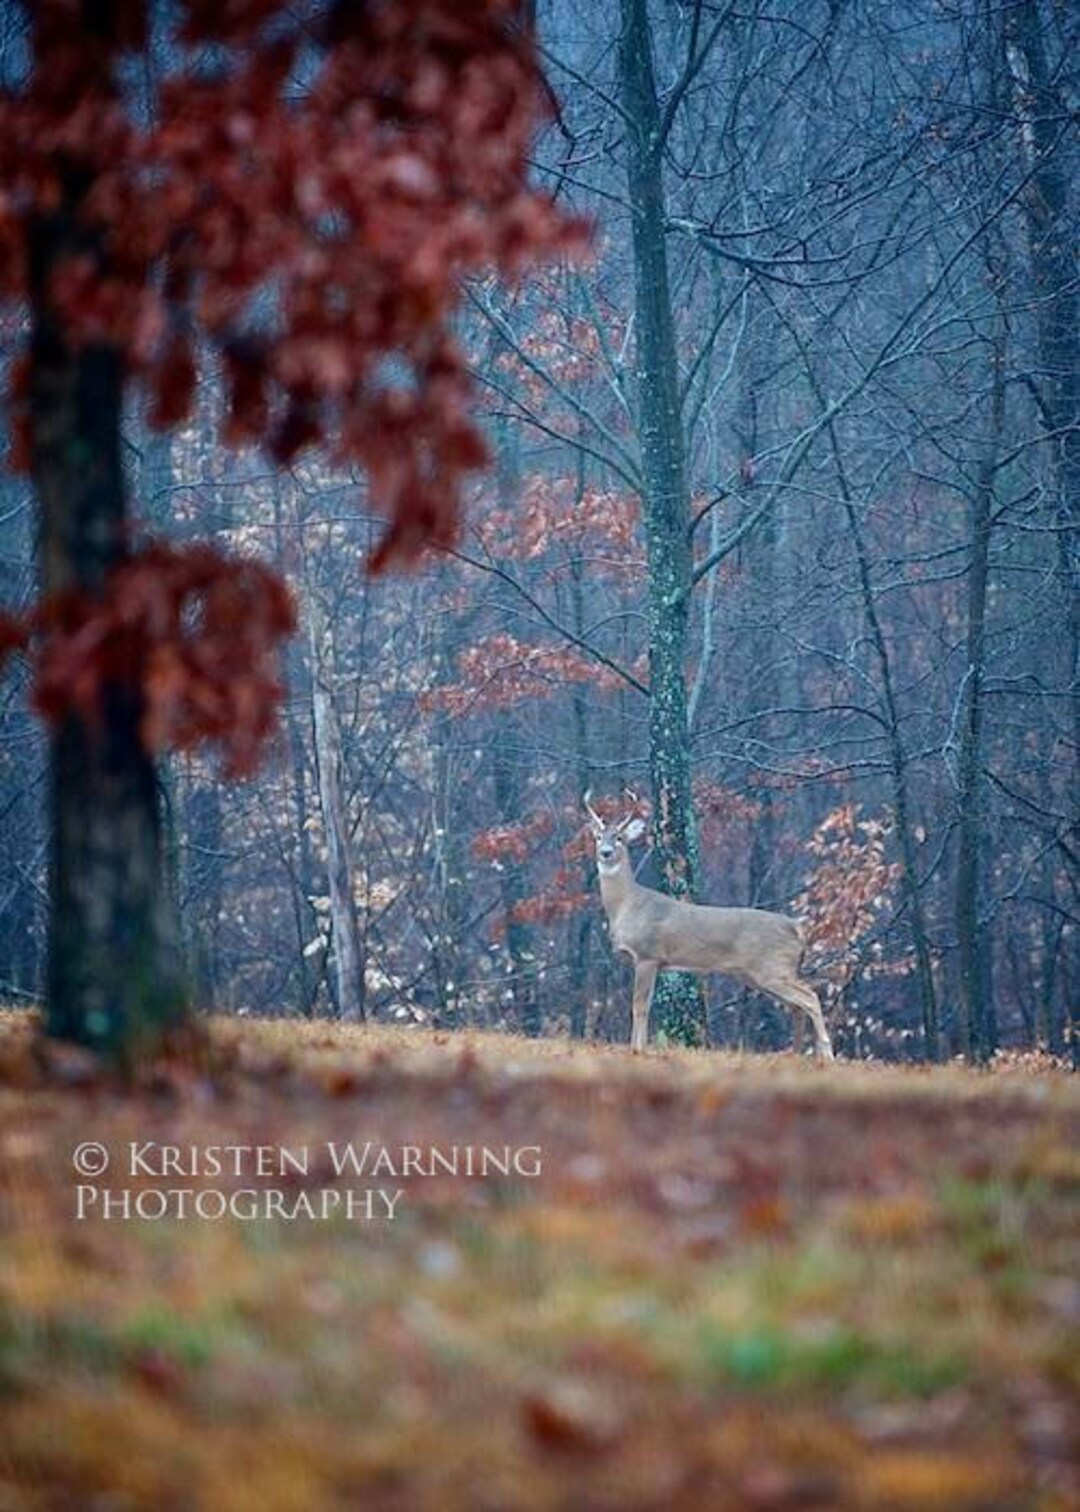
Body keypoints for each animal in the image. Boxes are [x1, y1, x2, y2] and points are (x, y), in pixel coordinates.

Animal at [584, 792, 834, 1061]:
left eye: (619, 837)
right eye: (598, 837)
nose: (605, 852)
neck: (627, 905)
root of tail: (796, 927)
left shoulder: (647, 955)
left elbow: (639, 1005)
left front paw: (637, 1049)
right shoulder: (650, 961)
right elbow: (644, 1005)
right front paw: (637, 1048)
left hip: (773, 968)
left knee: (810, 997)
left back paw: (827, 1055)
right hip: (762, 975)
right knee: (797, 1006)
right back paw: (794, 1054)